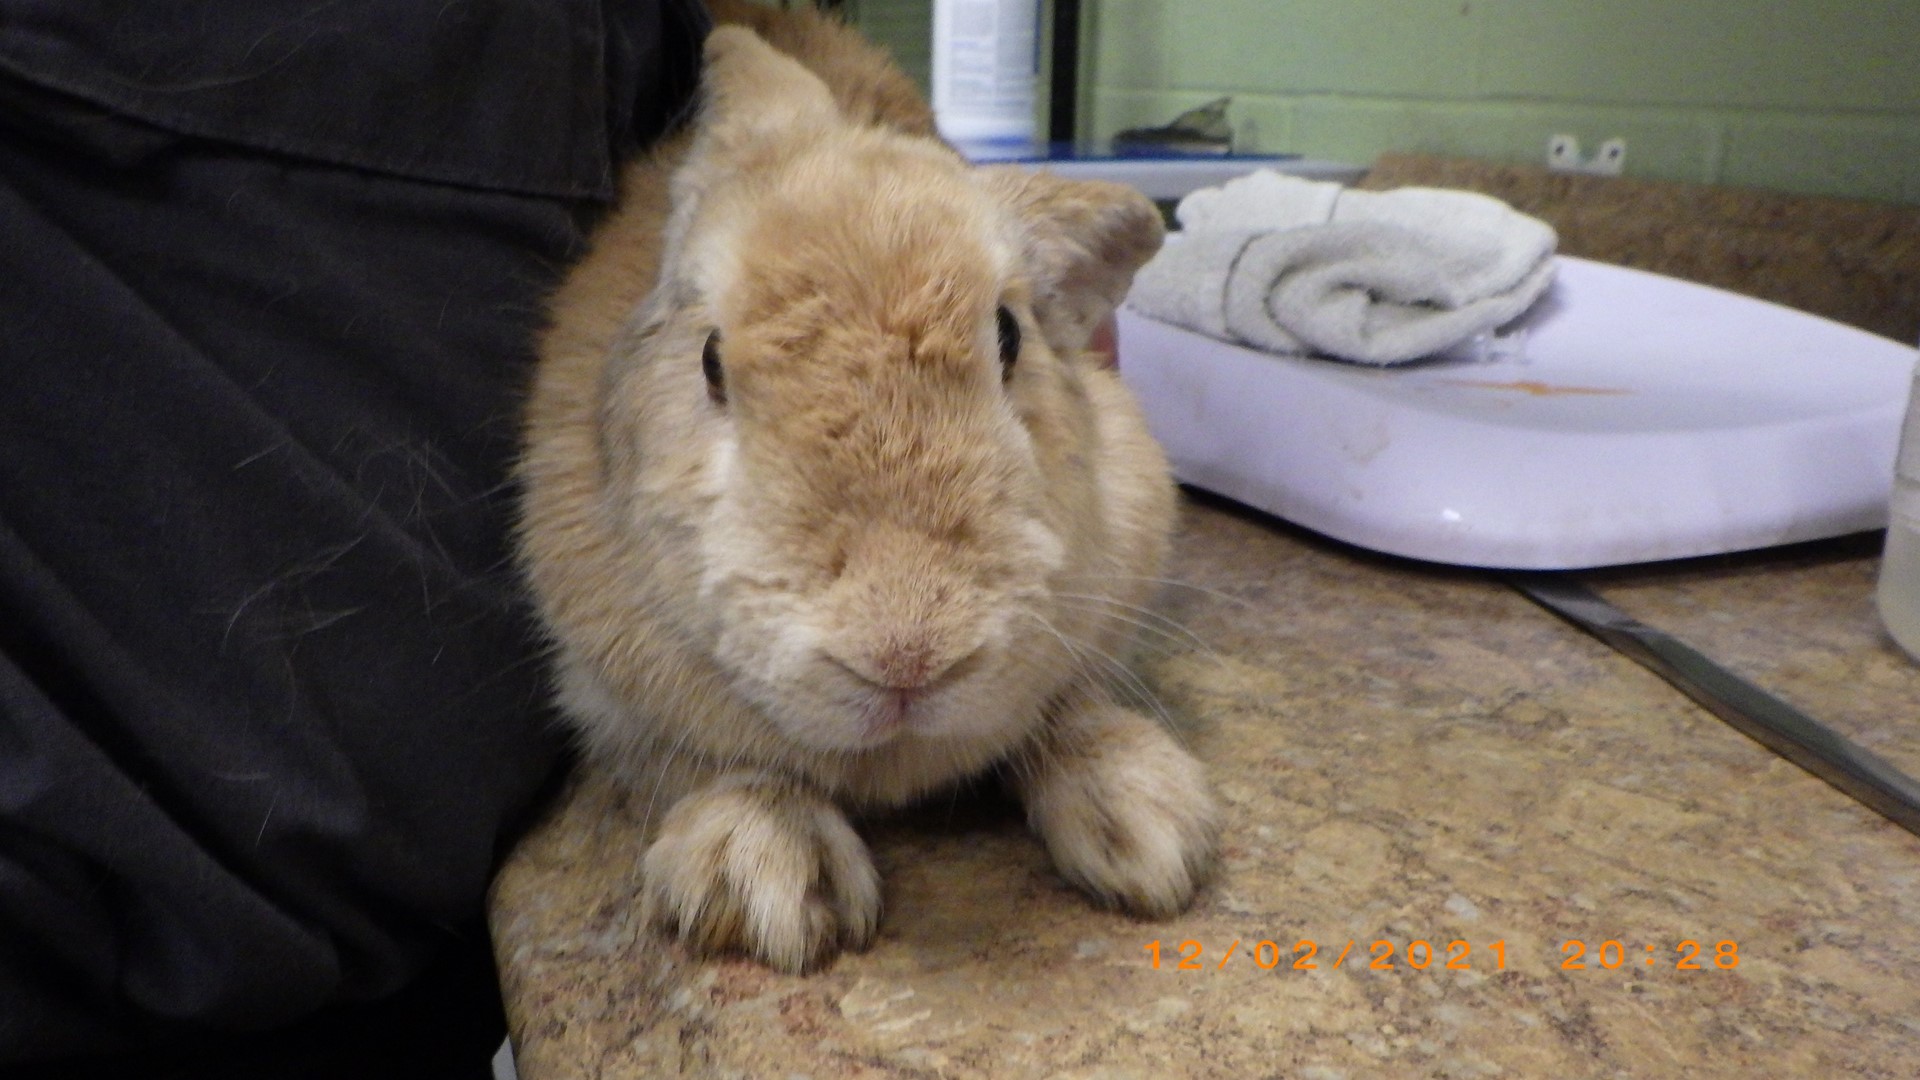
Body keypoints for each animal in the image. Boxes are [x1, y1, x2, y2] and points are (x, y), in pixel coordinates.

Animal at [515, 1, 1219, 974]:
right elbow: (714, 760)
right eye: (710, 362)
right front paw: (769, 880)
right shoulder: (610, 685)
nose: (908, 656)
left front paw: (1152, 830)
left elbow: (1070, 705)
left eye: (1009, 337)